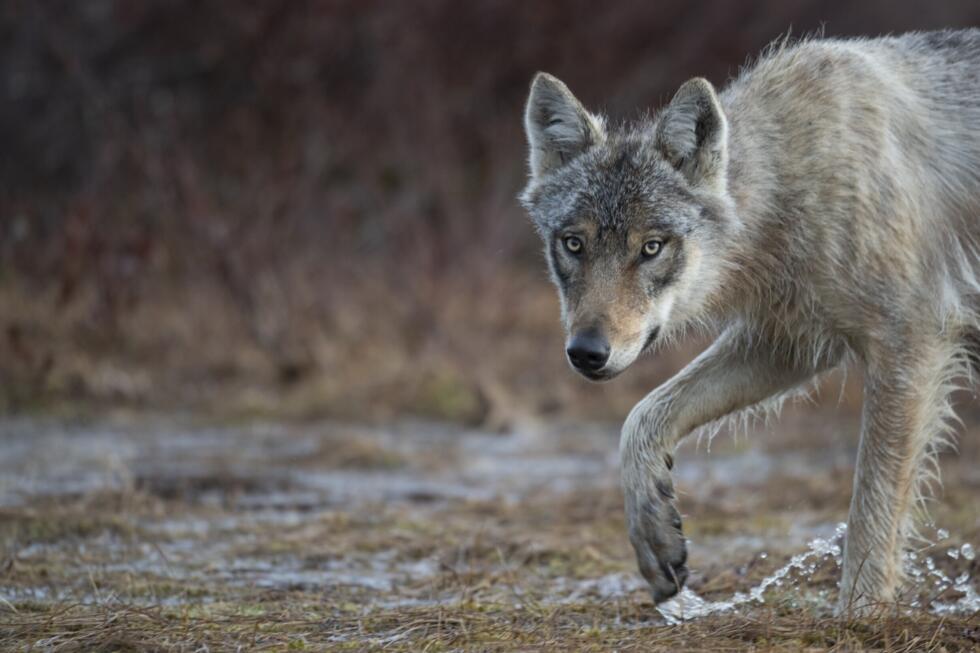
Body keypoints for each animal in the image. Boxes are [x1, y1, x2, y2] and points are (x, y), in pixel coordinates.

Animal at [519, 29, 980, 613]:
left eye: (651, 248)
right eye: (573, 244)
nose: (585, 352)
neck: (794, 183)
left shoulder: (910, 344)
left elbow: (870, 511)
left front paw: (857, 616)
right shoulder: (789, 342)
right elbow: (641, 418)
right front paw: (655, 537)